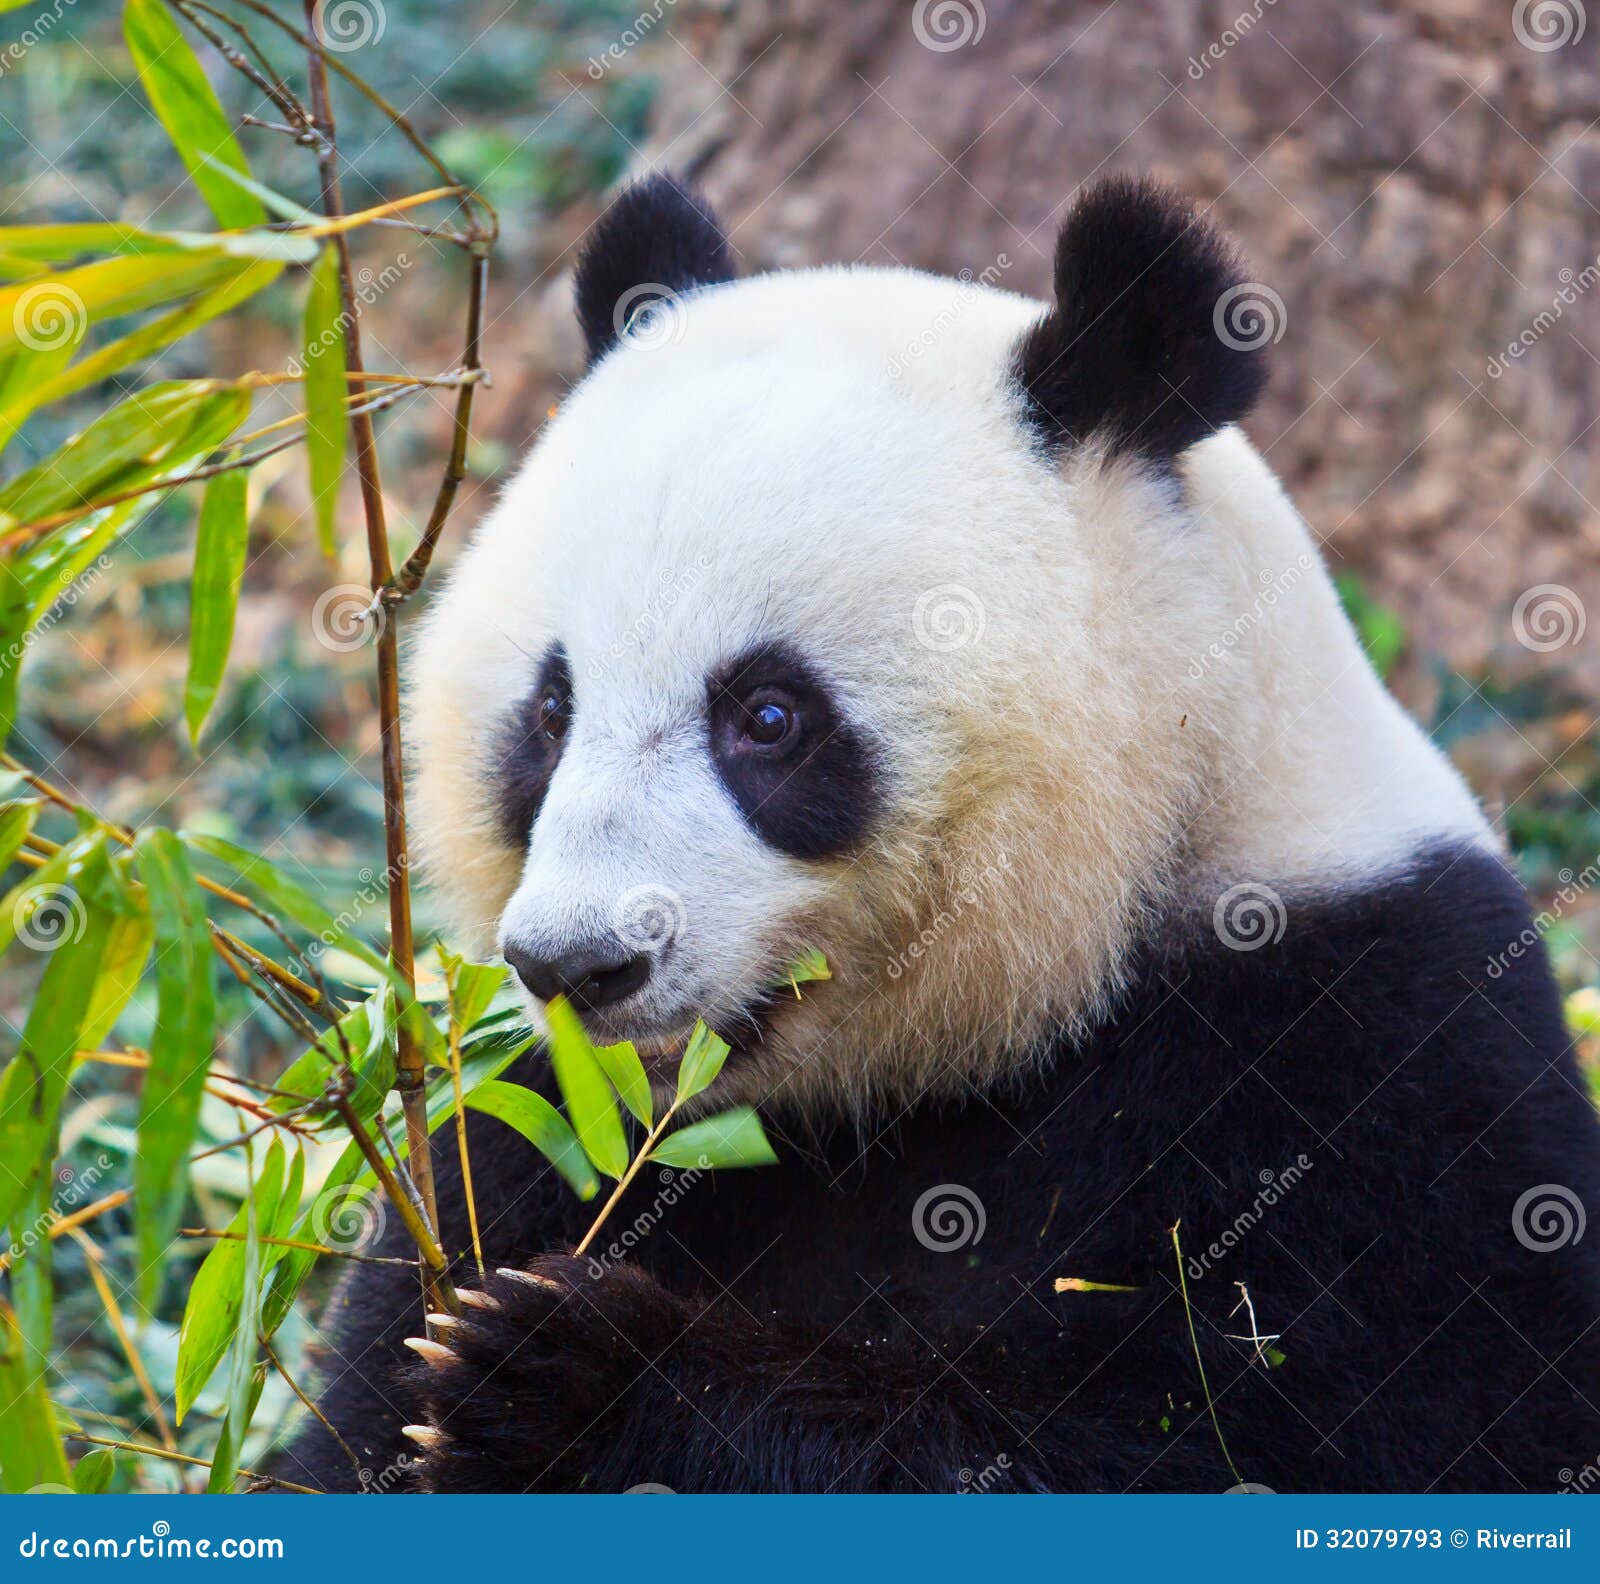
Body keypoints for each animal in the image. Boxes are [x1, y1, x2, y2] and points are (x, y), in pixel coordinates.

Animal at [282, 172, 1600, 1494]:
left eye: (768, 716)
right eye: (551, 713)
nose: (579, 965)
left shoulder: (1369, 1047)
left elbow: (1284, 1423)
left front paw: (570, 1375)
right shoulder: (530, 1115)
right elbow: (360, 1410)